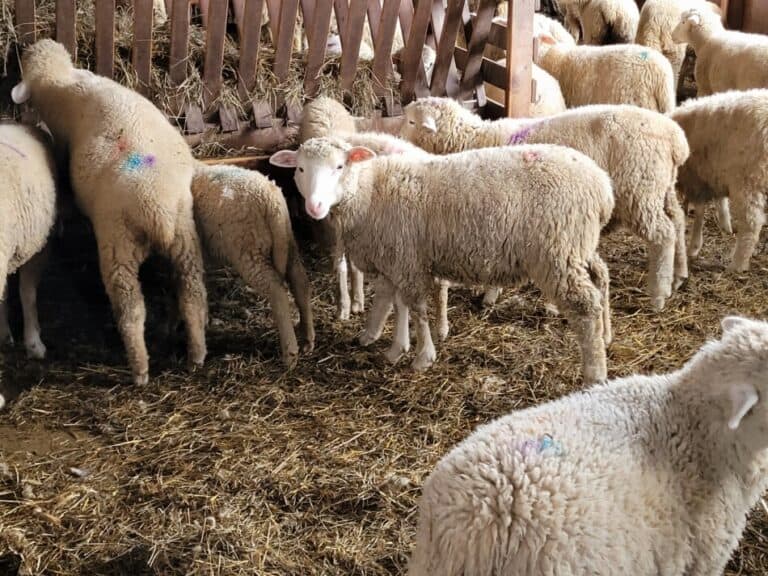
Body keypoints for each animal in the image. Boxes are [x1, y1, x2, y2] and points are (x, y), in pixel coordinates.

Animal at [12, 39, 208, 385]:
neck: (62, 80)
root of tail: (158, 211)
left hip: (119, 247)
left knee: (131, 311)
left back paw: (140, 371)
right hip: (185, 240)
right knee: (192, 295)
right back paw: (196, 356)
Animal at [190, 163, 314, 367]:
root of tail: (270, 199)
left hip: (249, 251)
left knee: (276, 290)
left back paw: (290, 354)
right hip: (287, 242)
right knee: (300, 281)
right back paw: (308, 338)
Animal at [269, 137, 614, 383]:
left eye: (339, 167)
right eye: (300, 169)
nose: (314, 207)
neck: (370, 192)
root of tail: (602, 186)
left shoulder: (406, 258)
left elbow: (416, 307)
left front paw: (422, 356)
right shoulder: (398, 256)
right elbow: (393, 301)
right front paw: (388, 344)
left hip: (558, 252)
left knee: (585, 306)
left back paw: (595, 373)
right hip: (579, 247)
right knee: (601, 278)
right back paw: (606, 336)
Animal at [402, 97, 689, 310]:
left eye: (412, 121)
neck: (475, 139)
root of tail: (676, 139)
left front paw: (490, 295)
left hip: (640, 191)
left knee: (663, 235)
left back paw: (659, 294)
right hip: (663, 188)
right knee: (678, 222)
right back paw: (679, 276)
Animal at [670, 89, 768, 272]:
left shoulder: (698, 178)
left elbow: (700, 211)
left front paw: (693, 246)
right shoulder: (711, 173)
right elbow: (717, 201)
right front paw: (725, 224)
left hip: (747, 181)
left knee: (751, 225)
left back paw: (737, 264)